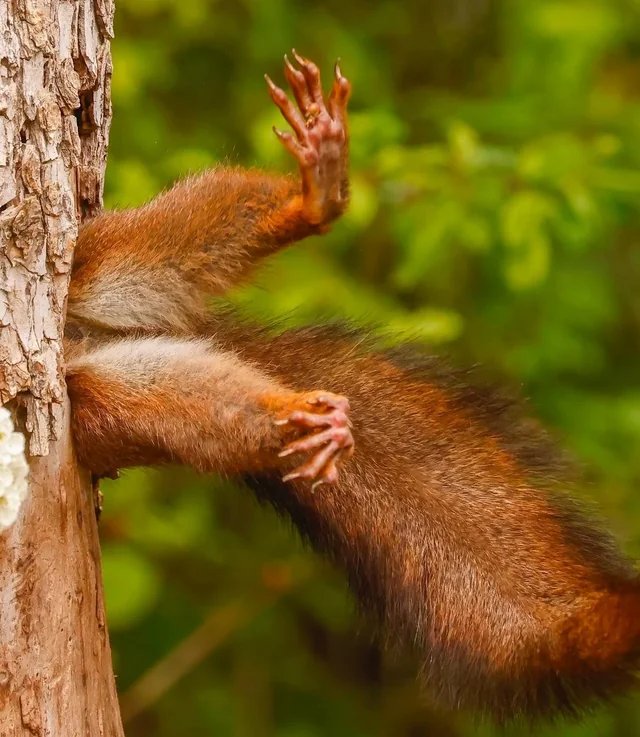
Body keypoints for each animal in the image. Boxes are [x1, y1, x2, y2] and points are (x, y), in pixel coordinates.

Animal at [63, 52, 640, 722]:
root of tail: (83, 341)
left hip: (99, 260)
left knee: (172, 236)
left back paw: (314, 194)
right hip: (104, 402)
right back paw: (300, 419)